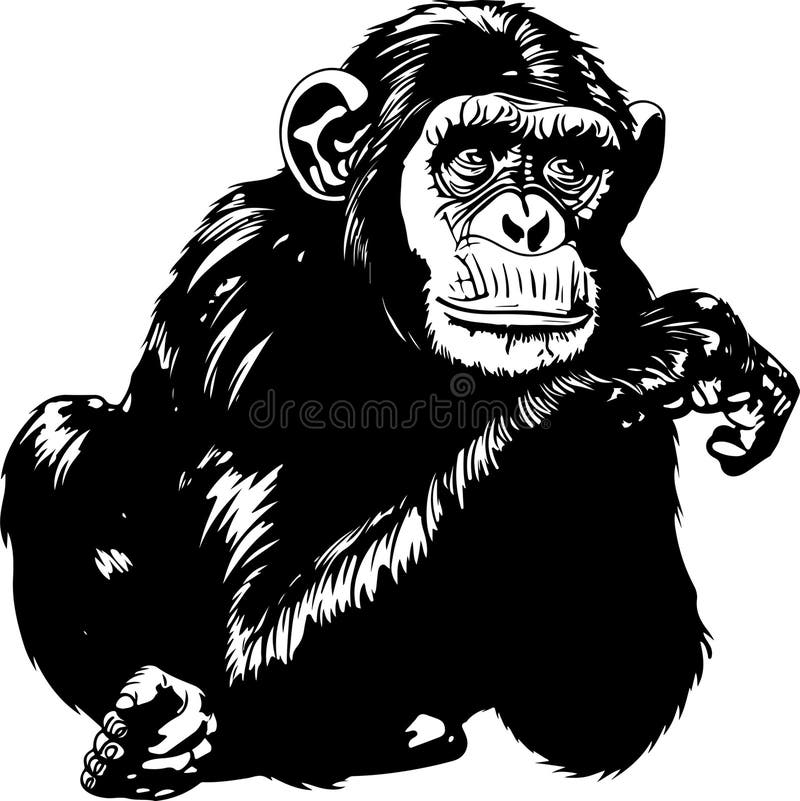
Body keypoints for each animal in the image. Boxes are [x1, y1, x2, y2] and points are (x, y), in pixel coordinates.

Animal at [1, 3, 796, 799]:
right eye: (474, 156)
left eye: (570, 169)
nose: (530, 224)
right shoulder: (242, 295)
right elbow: (262, 643)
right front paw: (628, 362)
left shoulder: (622, 285)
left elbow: (605, 704)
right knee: (63, 435)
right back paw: (168, 725)